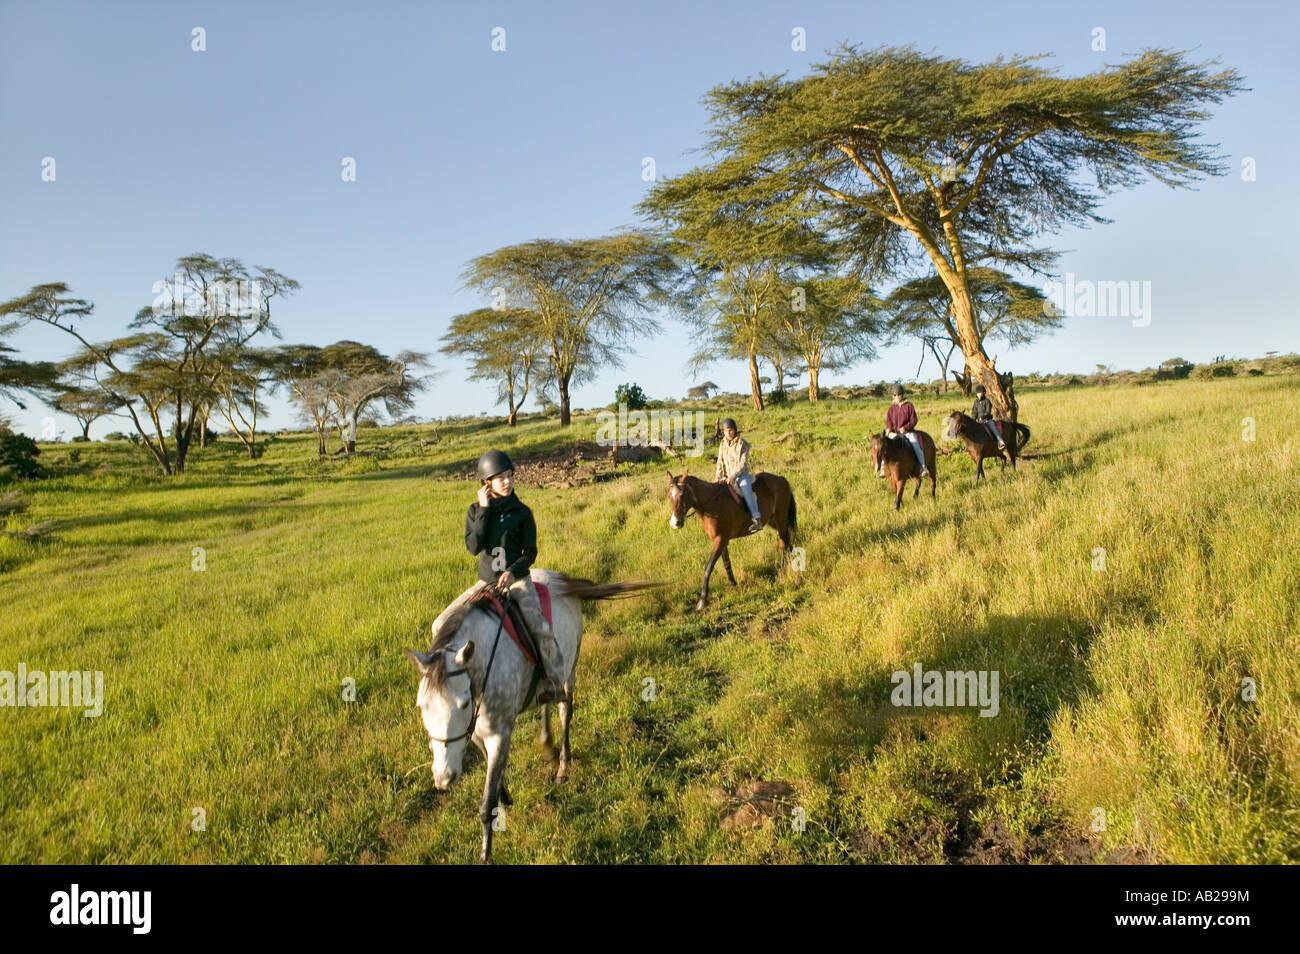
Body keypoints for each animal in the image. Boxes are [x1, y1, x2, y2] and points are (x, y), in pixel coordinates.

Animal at [405, 569, 658, 864]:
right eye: (422, 706)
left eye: (464, 704)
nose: (444, 777)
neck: (482, 667)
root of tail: (561, 580)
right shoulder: (476, 732)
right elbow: (491, 768)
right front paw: (505, 795)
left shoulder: (499, 733)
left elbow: (486, 803)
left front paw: (486, 853)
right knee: (546, 700)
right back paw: (547, 743)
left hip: (569, 668)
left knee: (565, 710)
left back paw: (562, 764)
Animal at [666, 471, 797, 611]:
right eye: (669, 495)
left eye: (682, 494)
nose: (675, 523)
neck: (712, 503)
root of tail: (781, 479)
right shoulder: (721, 540)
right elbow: (726, 562)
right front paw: (732, 584)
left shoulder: (721, 539)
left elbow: (708, 567)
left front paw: (702, 601)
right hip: (773, 521)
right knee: (787, 540)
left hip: (780, 519)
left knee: (783, 543)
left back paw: (783, 568)